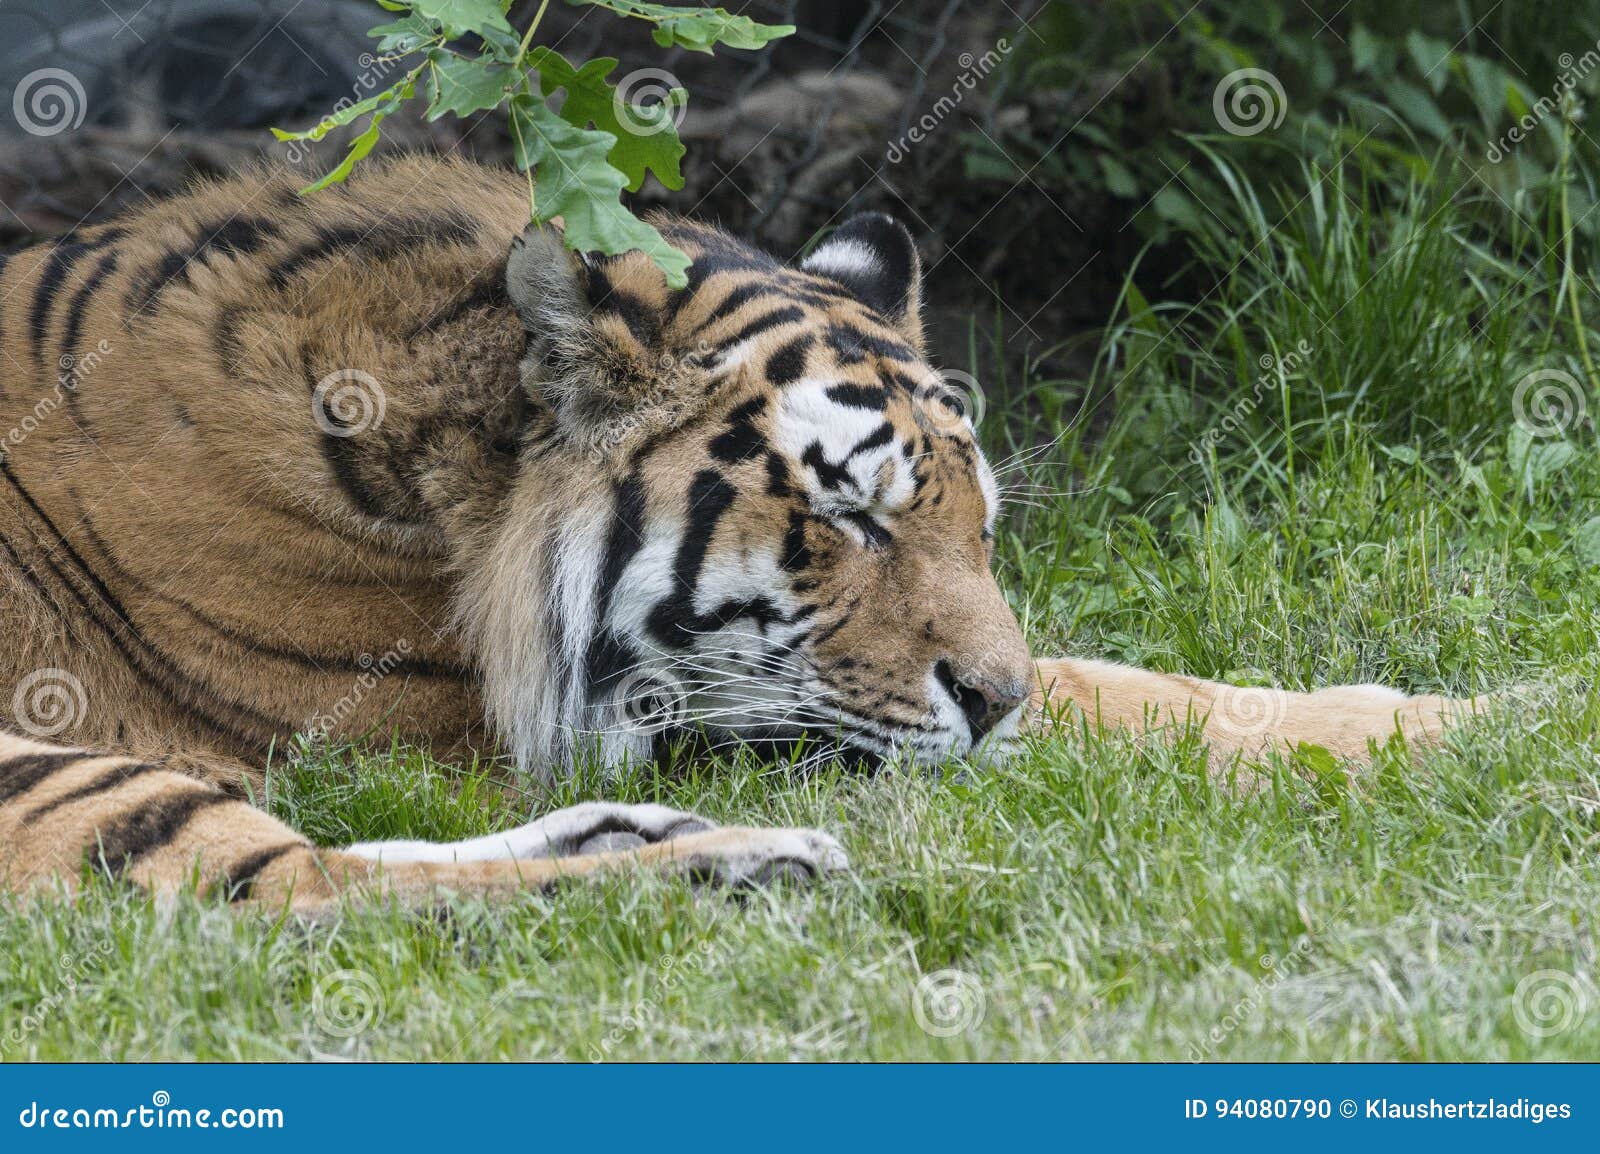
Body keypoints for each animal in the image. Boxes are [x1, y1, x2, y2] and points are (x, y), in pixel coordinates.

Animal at [0, 154, 1472, 915]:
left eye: (979, 527)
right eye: (850, 520)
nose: (990, 700)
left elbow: (1116, 677)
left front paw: (1441, 715)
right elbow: (1094, 694)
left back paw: (640, 833)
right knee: (293, 893)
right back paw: (747, 860)